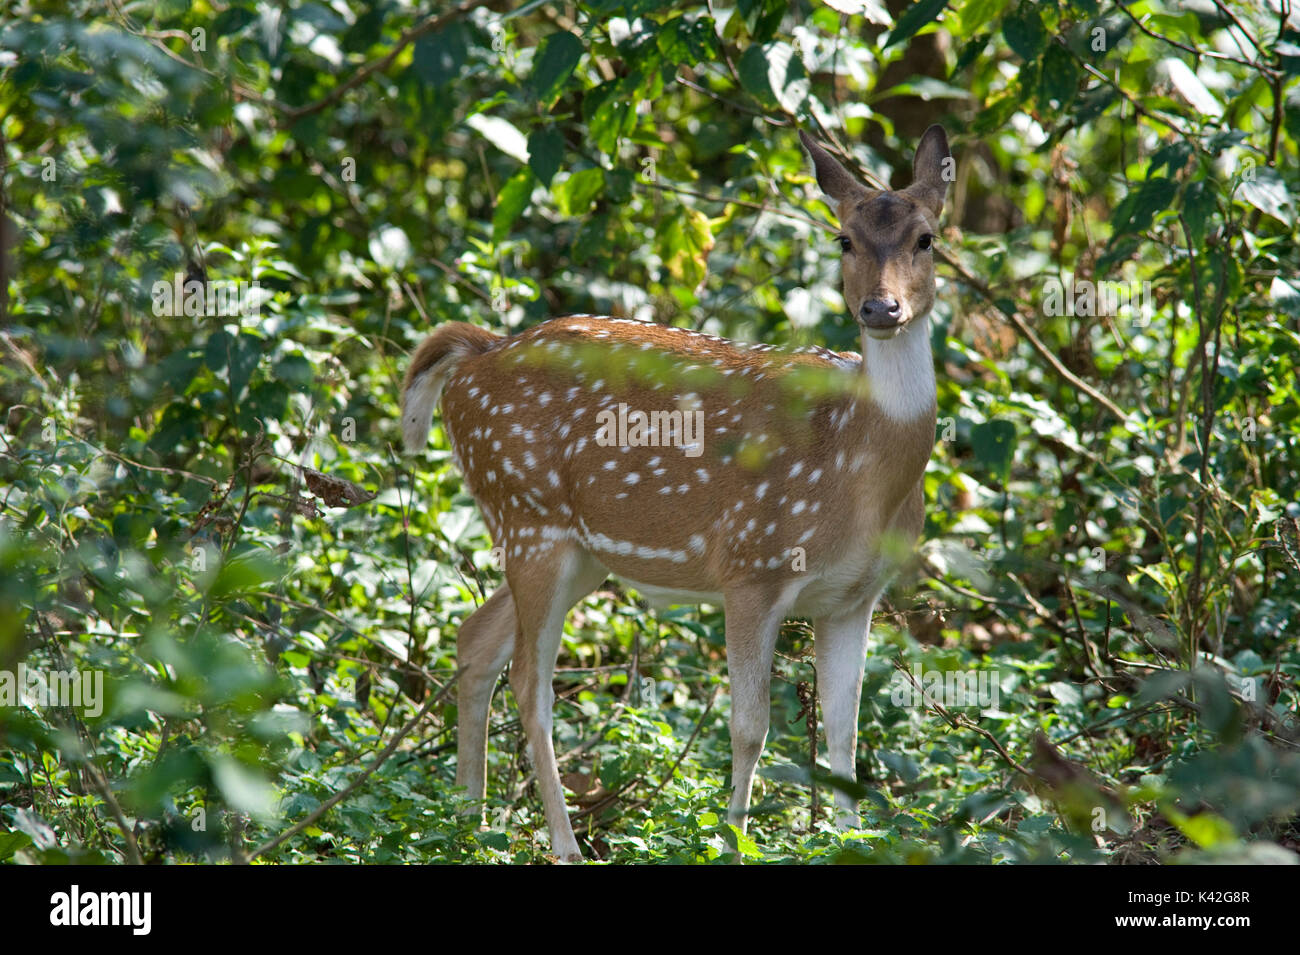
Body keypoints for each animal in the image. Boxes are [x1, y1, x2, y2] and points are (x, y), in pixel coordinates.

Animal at [401, 124, 950, 862]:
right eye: (843, 239)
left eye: (926, 238)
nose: (880, 308)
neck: (855, 466)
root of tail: (476, 354)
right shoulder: (750, 566)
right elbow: (750, 726)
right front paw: (733, 839)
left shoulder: (853, 597)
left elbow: (845, 734)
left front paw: (847, 840)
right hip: (529, 517)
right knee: (529, 684)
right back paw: (562, 843)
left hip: (578, 549)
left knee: (474, 639)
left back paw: (467, 819)